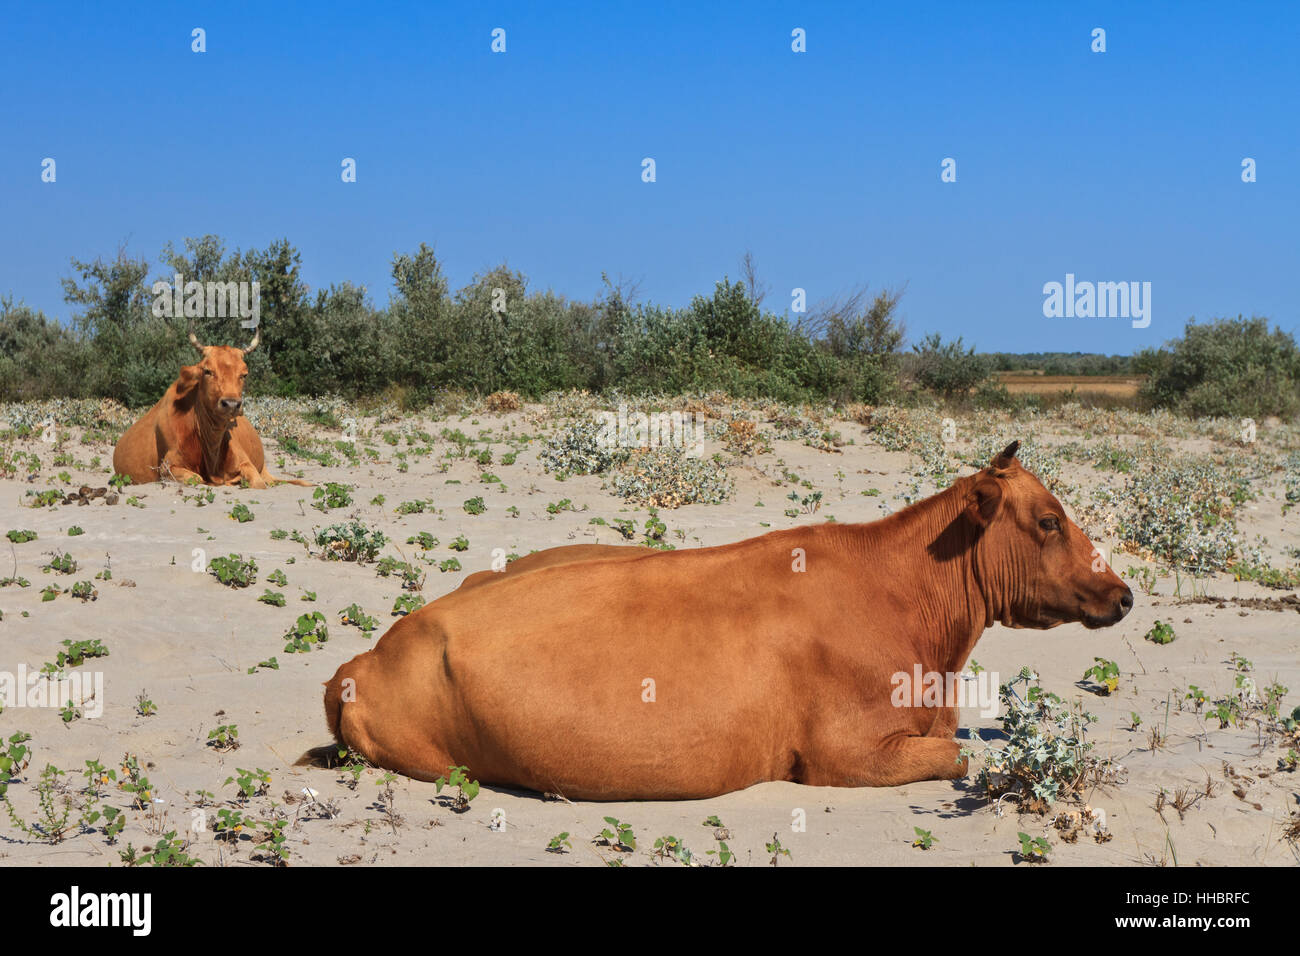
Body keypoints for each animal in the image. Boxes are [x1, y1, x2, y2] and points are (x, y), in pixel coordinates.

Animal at [112, 328, 310, 489]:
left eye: (244, 374)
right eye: (207, 371)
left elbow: (258, 483)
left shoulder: (247, 463)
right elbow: (197, 479)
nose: (231, 404)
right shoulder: (167, 467)